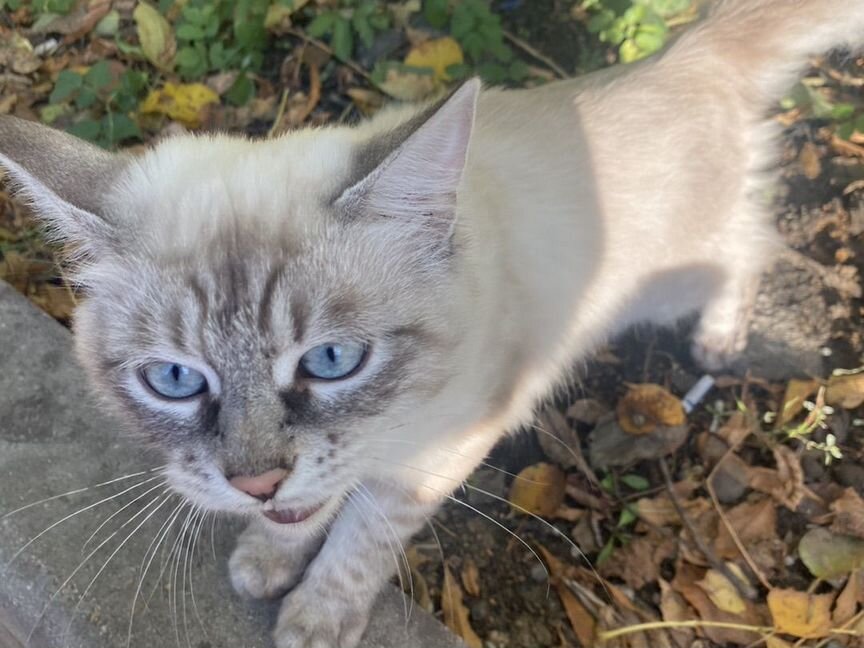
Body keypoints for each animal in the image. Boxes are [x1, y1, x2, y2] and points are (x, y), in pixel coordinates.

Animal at [0, 1, 860, 648]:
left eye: (333, 361)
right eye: (174, 380)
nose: (254, 482)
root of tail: (680, 56)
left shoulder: (442, 447)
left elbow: (361, 538)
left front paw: (317, 618)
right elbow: (310, 513)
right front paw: (268, 557)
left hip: (677, 274)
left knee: (753, 237)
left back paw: (722, 336)